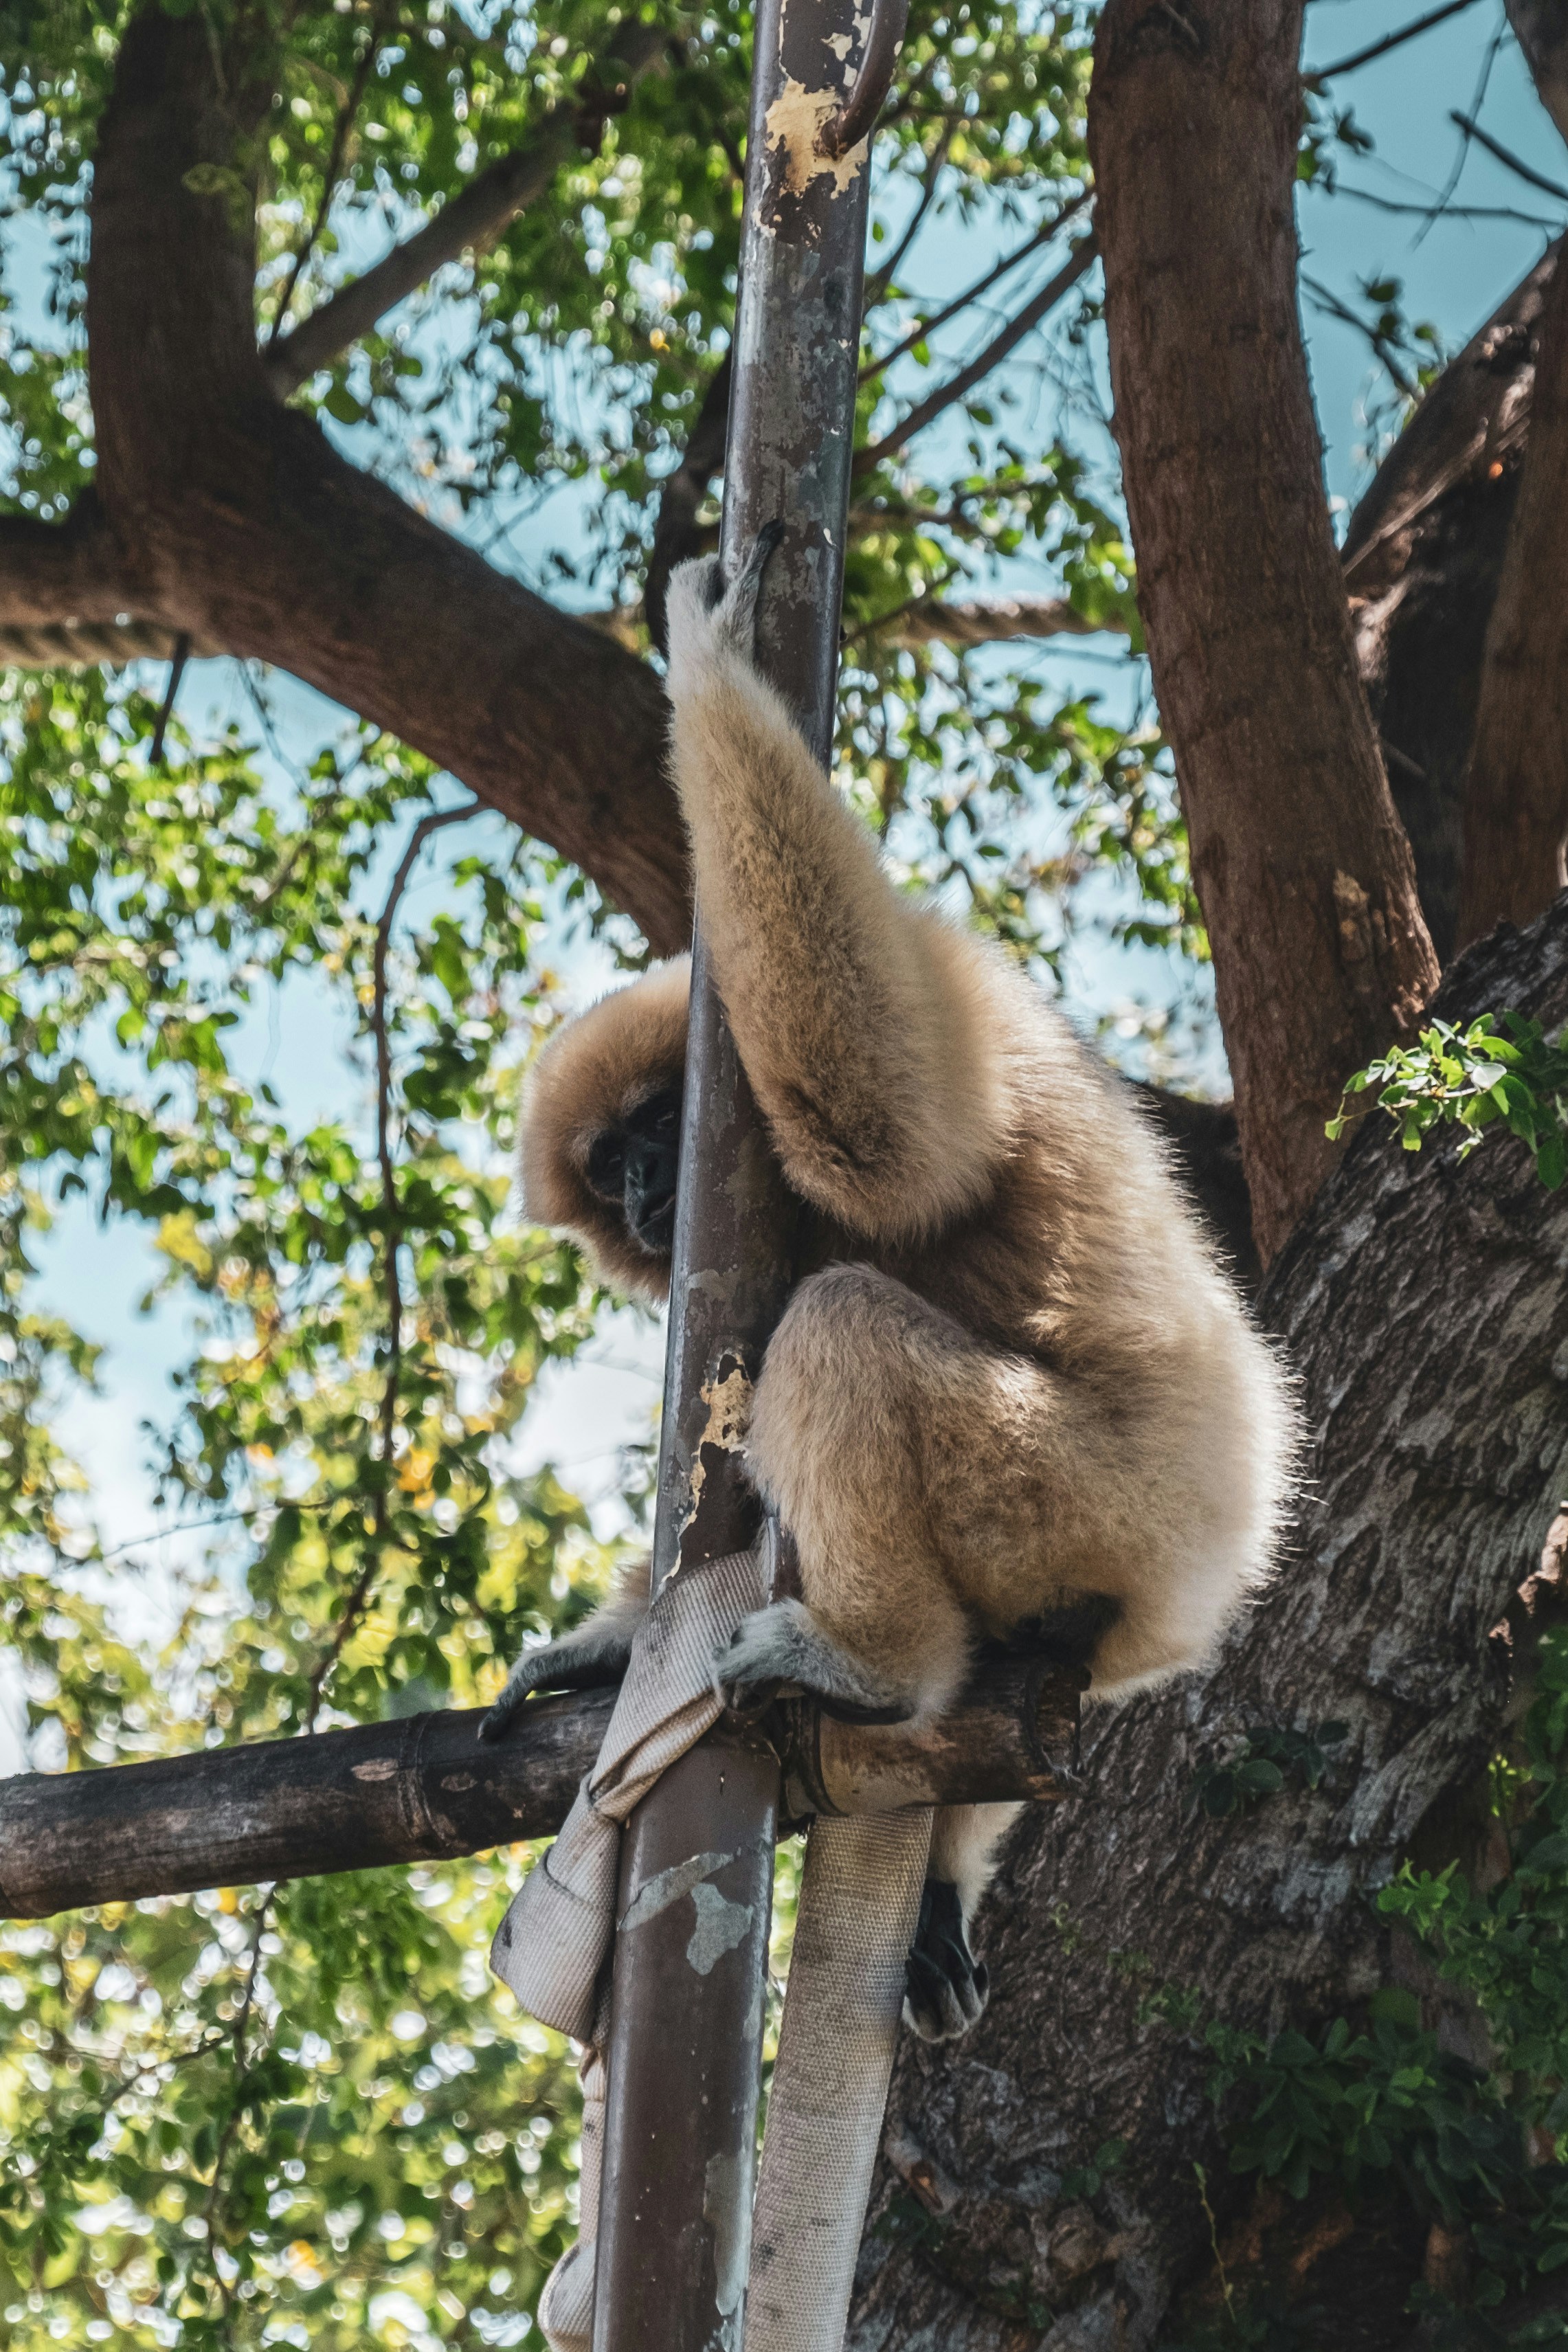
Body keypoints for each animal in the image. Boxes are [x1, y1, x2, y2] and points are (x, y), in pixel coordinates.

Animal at [481, 526, 1296, 2044]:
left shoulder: (952, 984)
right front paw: (603, 1647)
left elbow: (876, 1119)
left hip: (1103, 1497)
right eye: (612, 1171)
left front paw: (704, 665)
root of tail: (1229, 1538)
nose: (644, 1195)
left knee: (841, 1324)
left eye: (650, 1135)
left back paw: (872, 1659)